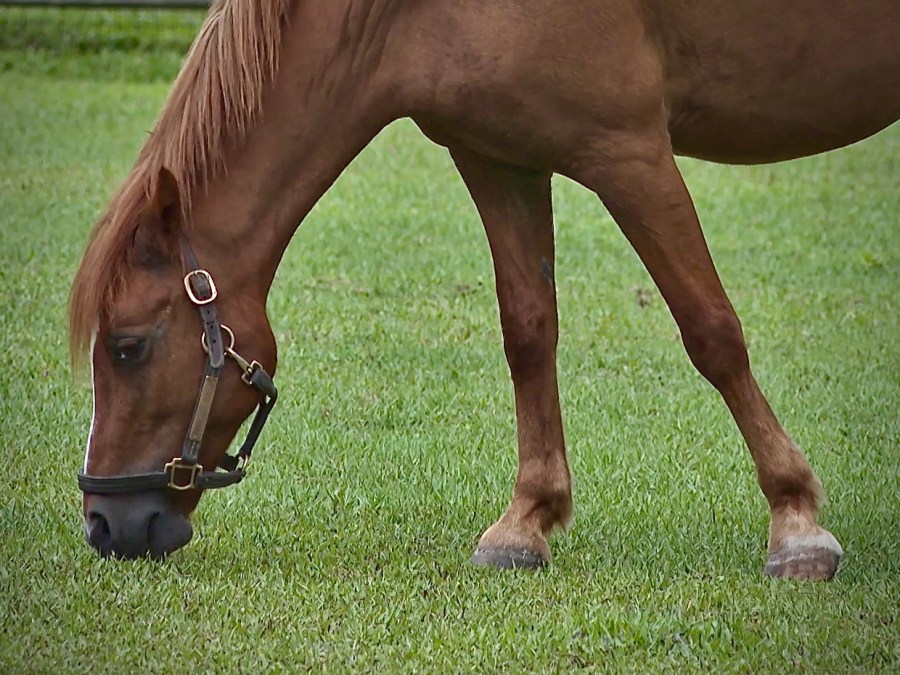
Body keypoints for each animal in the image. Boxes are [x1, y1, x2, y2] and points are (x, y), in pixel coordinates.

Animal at [70, 0, 900, 579]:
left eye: (129, 346)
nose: (104, 523)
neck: (397, 13)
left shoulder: (628, 151)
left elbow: (711, 330)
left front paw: (796, 522)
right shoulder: (498, 156)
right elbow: (528, 330)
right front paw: (526, 521)